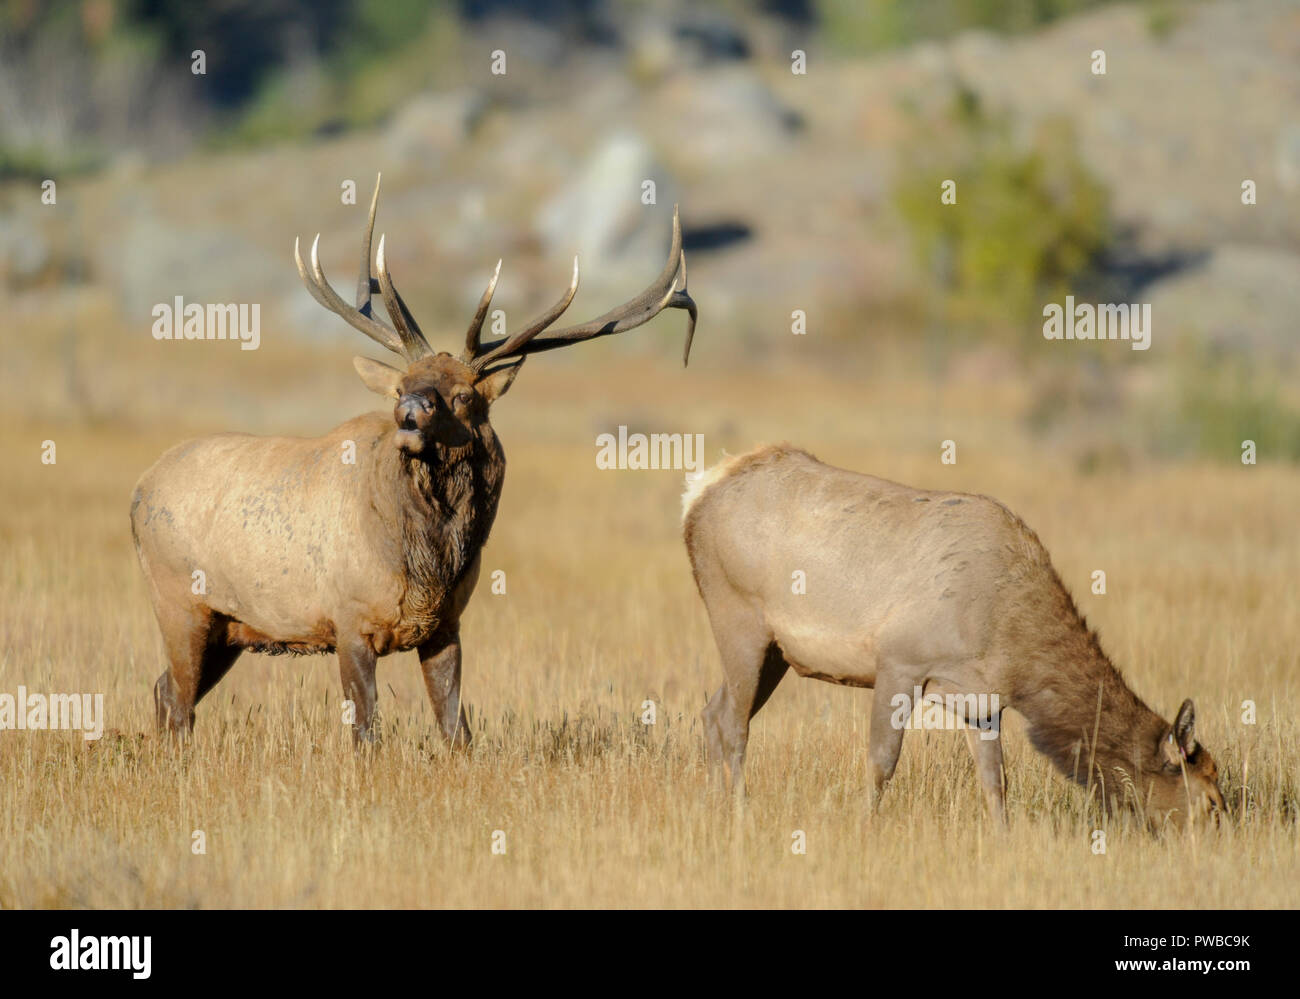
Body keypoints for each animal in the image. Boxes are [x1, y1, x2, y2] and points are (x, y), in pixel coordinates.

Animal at [131, 175, 696, 745]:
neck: (428, 563)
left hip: (230, 627)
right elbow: (366, 731)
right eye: (402, 385)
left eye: (465, 396)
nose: (409, 413)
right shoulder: (349, 620)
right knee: (177, 699)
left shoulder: (446, 625)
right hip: (179, 602)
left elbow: (455, 728)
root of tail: (138, 490)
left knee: (163, 689)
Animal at [682, 444, 1226, 829]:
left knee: (711, 711)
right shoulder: (899, 661)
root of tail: (697, 495)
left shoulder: (980, 699)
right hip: (738, 617)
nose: (1216, 842)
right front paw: (864, 828)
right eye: (1213, 801)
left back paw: (713, 808)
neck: (1013, 645)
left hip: (774, 652)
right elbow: (881, 762)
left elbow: (995, 781)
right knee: (733, 723)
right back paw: (739, 815)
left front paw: (1004, 840)